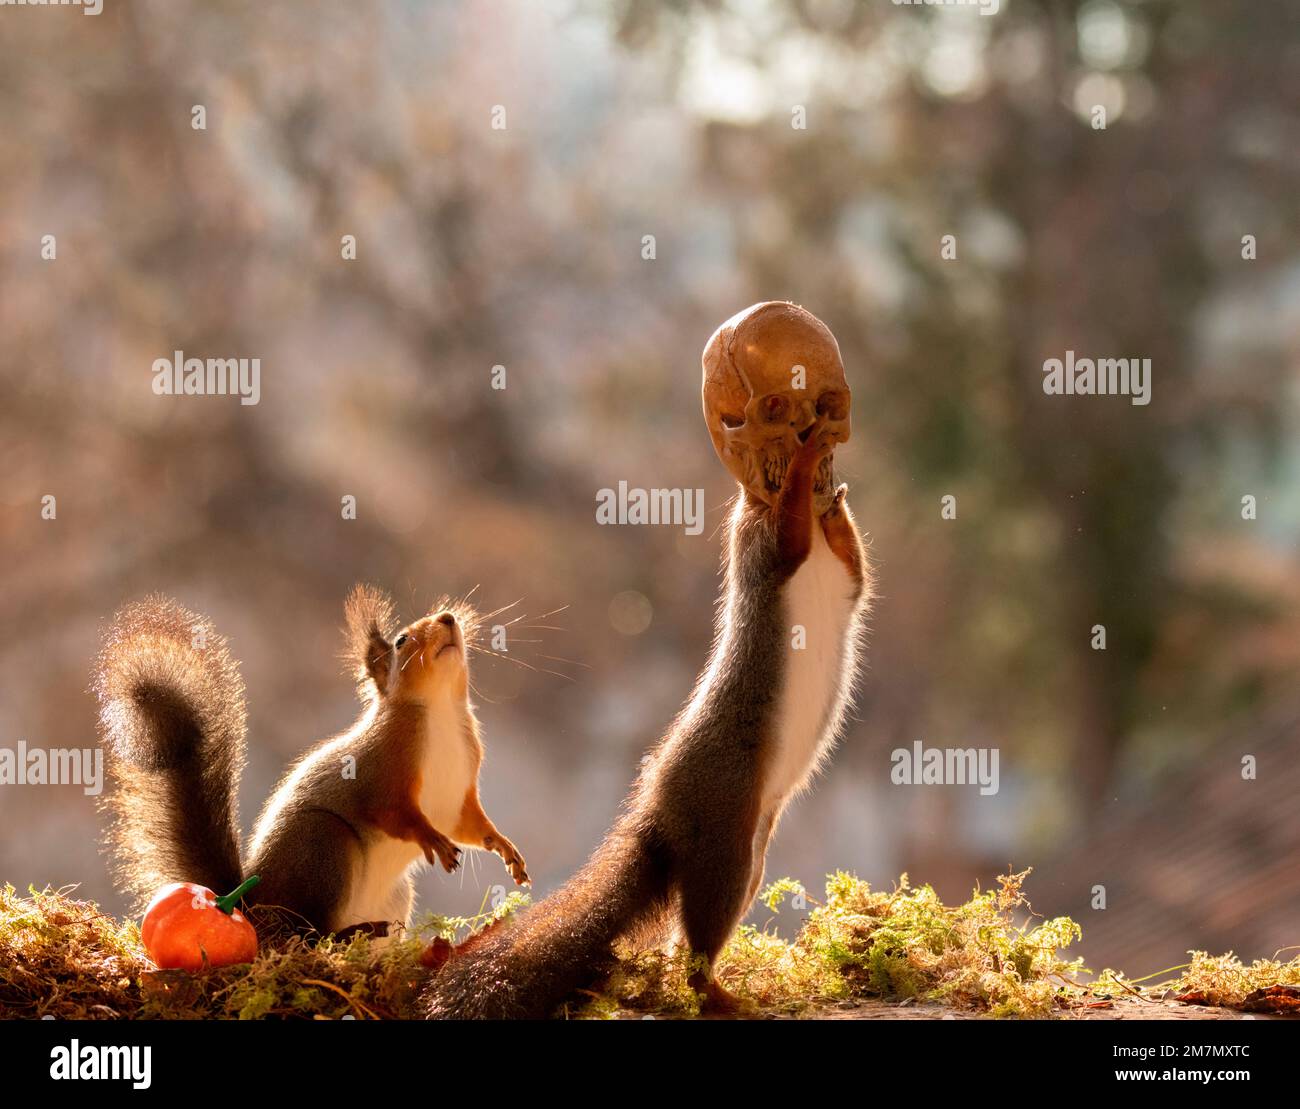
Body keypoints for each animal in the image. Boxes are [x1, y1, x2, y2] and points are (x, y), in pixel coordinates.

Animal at [95, 585, 529, 939]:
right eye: (402, 640)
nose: (448, 618)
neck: (439, 709)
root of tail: (252, 908)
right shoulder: (381, 769)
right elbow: (392, 812)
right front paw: (431, 839)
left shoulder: (458, 796)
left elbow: (471, 826)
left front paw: (506, 849)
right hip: (325, 846)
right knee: (308, 933)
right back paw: (347, 933)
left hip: (394, 894)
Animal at [425, 401, 871, 1015]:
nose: (832, 472)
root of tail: (657, 814)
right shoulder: (759, 546)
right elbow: (789, 532)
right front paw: (804, 467)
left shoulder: (846, 577)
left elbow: (855, 564)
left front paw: (839, 503)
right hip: (723, 840)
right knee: (699, 946)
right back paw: (725, 998)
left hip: (748, 855)